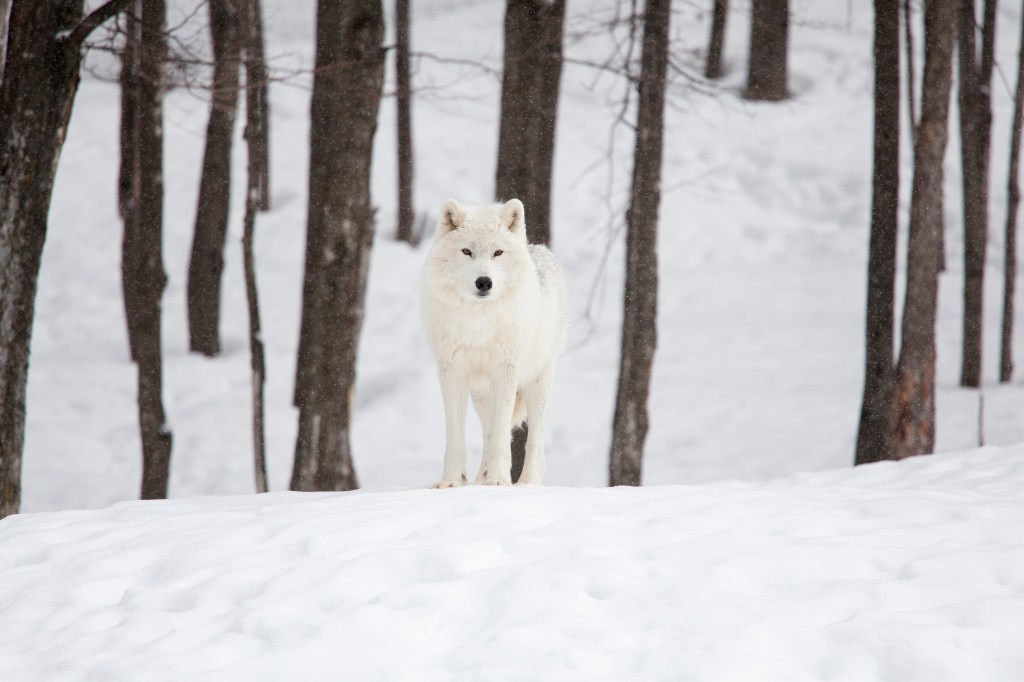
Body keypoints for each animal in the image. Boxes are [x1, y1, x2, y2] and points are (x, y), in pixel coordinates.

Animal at [421, 198, 567, 487]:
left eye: (498, 252)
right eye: (466, 251)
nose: (484, 282)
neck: (478, 322)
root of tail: (541, 250)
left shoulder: (505, 370)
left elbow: (502, 433)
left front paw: (499, 481)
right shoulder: (452, 371)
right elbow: (457, 434)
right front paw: (451, 482)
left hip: (538, 383)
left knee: (534, 439)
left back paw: (527, 482)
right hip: (481, 393)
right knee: (488, 433)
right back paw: (480, 479)